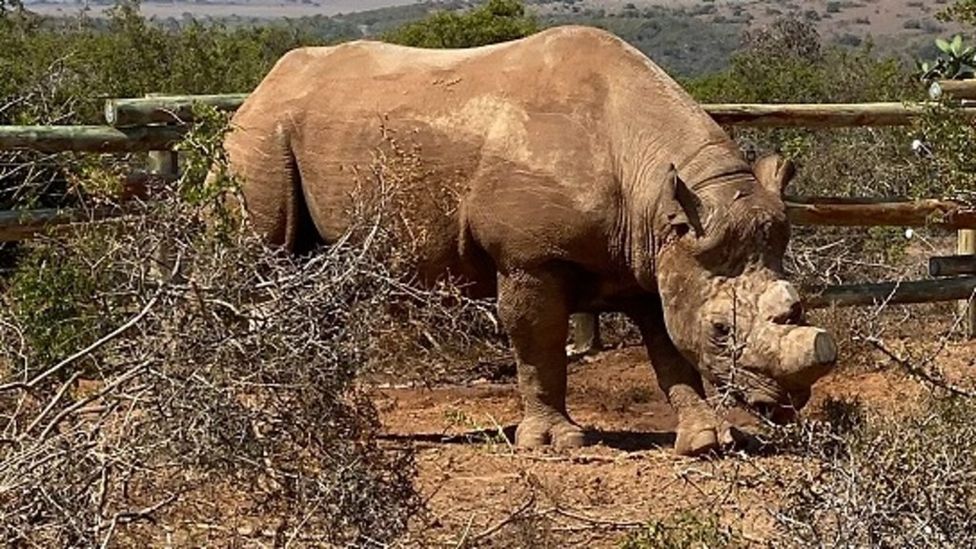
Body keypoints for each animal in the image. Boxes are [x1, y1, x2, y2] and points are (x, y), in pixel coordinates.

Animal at [223, 26, 837, 456]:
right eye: (721, 330)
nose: (786, 404)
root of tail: (262, 86)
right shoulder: (530, 258)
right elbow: (538, 344)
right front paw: (555, 443)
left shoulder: (659, 255)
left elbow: (669, 350)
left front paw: (710, 441)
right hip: (258, 138)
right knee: (269, 260)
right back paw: (273, 422)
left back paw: (319, 410)